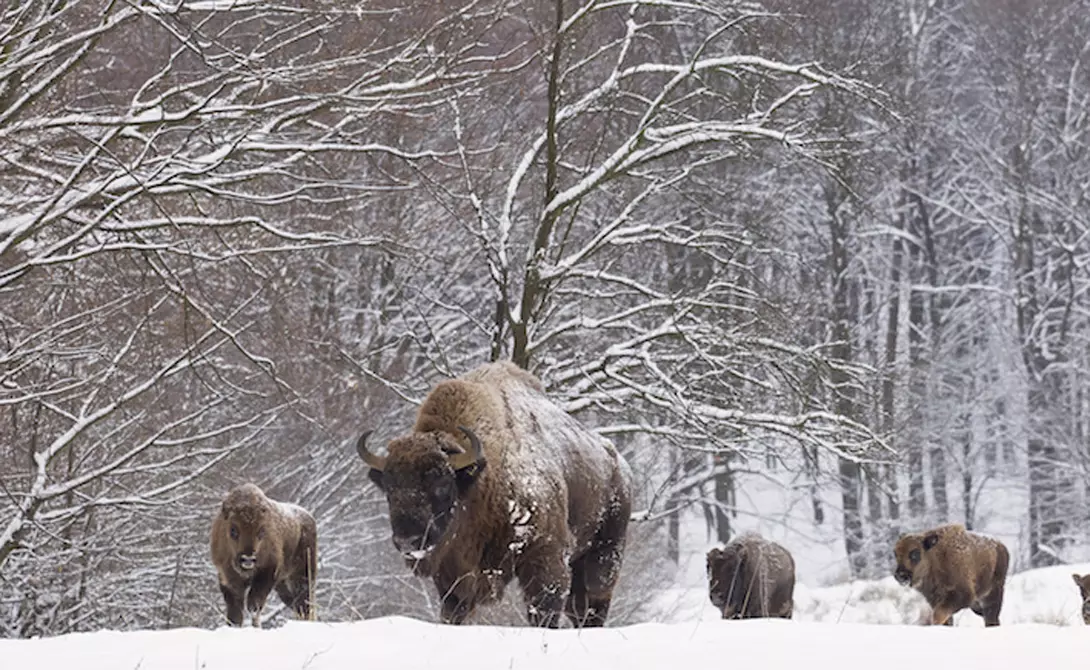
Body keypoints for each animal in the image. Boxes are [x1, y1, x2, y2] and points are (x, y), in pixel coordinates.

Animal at [210, 485, 318, 627]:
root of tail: (309, 518)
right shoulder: (228, 579)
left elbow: (254, 605)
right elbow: (235, 613)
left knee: (304, 603)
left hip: (302, 576)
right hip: (282, 585)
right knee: (296, 604)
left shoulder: (267, 572)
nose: (248, 559)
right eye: (233, 530)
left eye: (261, 531)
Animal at [357, 361, 632, 627]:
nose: (408, 541)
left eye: (442, 483)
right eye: (389, 488)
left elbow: (544, 610)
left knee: (594, 601)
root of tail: (618, 464)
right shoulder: (452, 576)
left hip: (605, 553)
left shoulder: (545, 557)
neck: (484, 476)